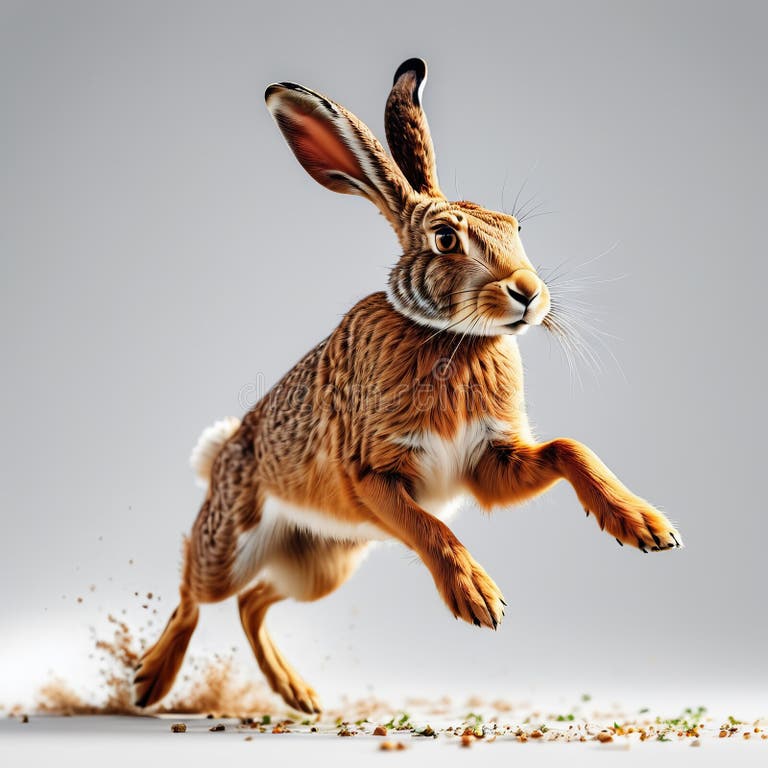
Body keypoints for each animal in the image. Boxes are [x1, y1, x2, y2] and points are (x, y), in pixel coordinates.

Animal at [133, 58, 682, 715]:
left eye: (516, 226)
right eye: (446, 239)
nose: (529, 291)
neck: (454, 338)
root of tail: (220, 456)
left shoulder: (489, 461)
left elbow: (568, 449)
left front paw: (644, 527)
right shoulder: (375, 472)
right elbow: (431, 528)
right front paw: (479, 600)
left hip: (325, 565)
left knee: (252, 604)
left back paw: (299, 695)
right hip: (233, 545)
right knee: (195, 590)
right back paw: (149, 681)